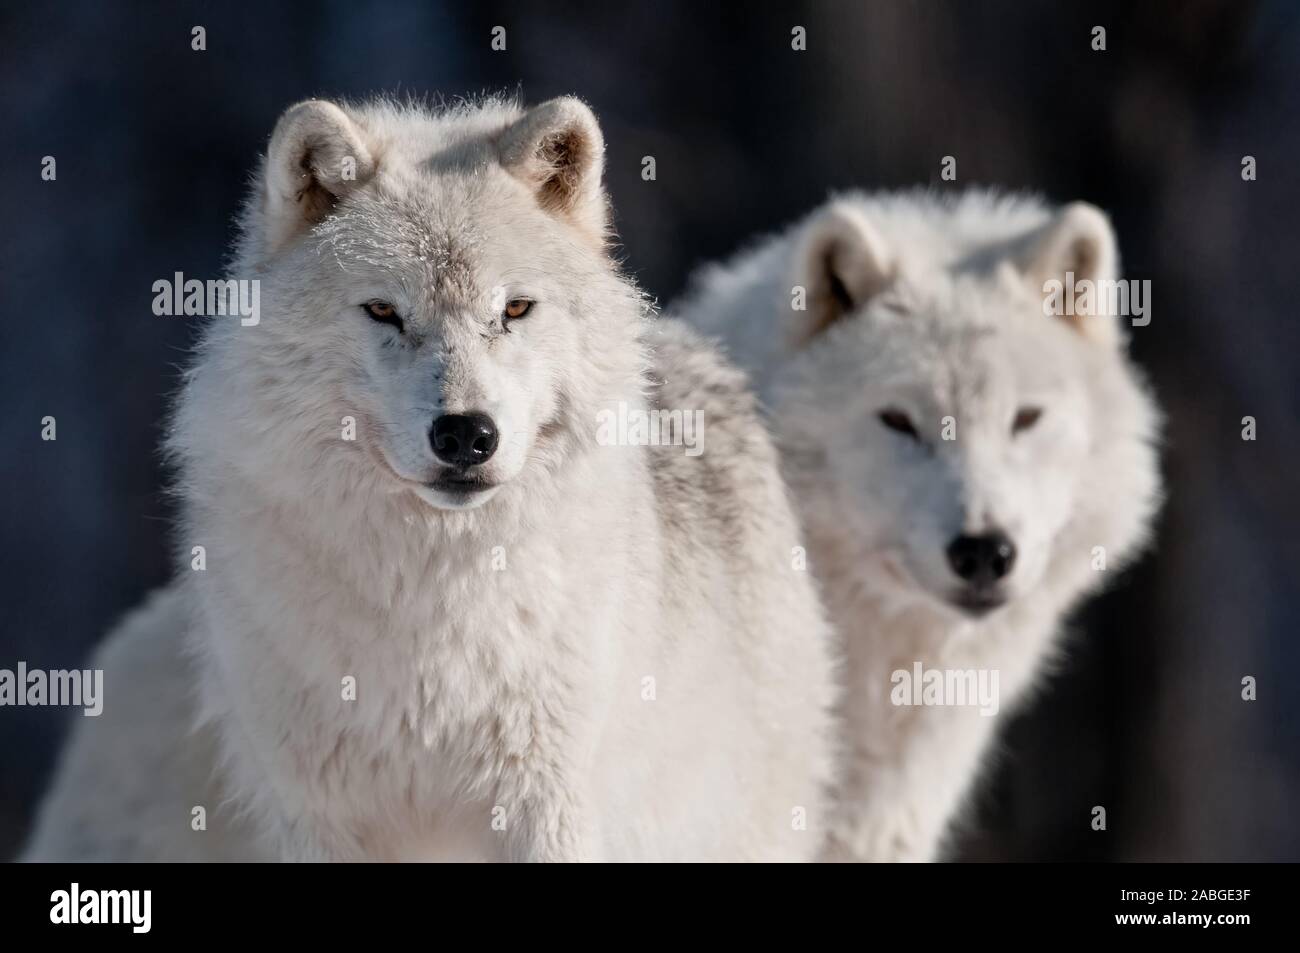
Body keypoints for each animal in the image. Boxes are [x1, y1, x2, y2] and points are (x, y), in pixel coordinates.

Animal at [23, 96, 836, 862]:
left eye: (515, 308)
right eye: (384, 311)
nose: (466, 433)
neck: (433, 598)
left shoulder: (549, 805)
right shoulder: (319, 816)